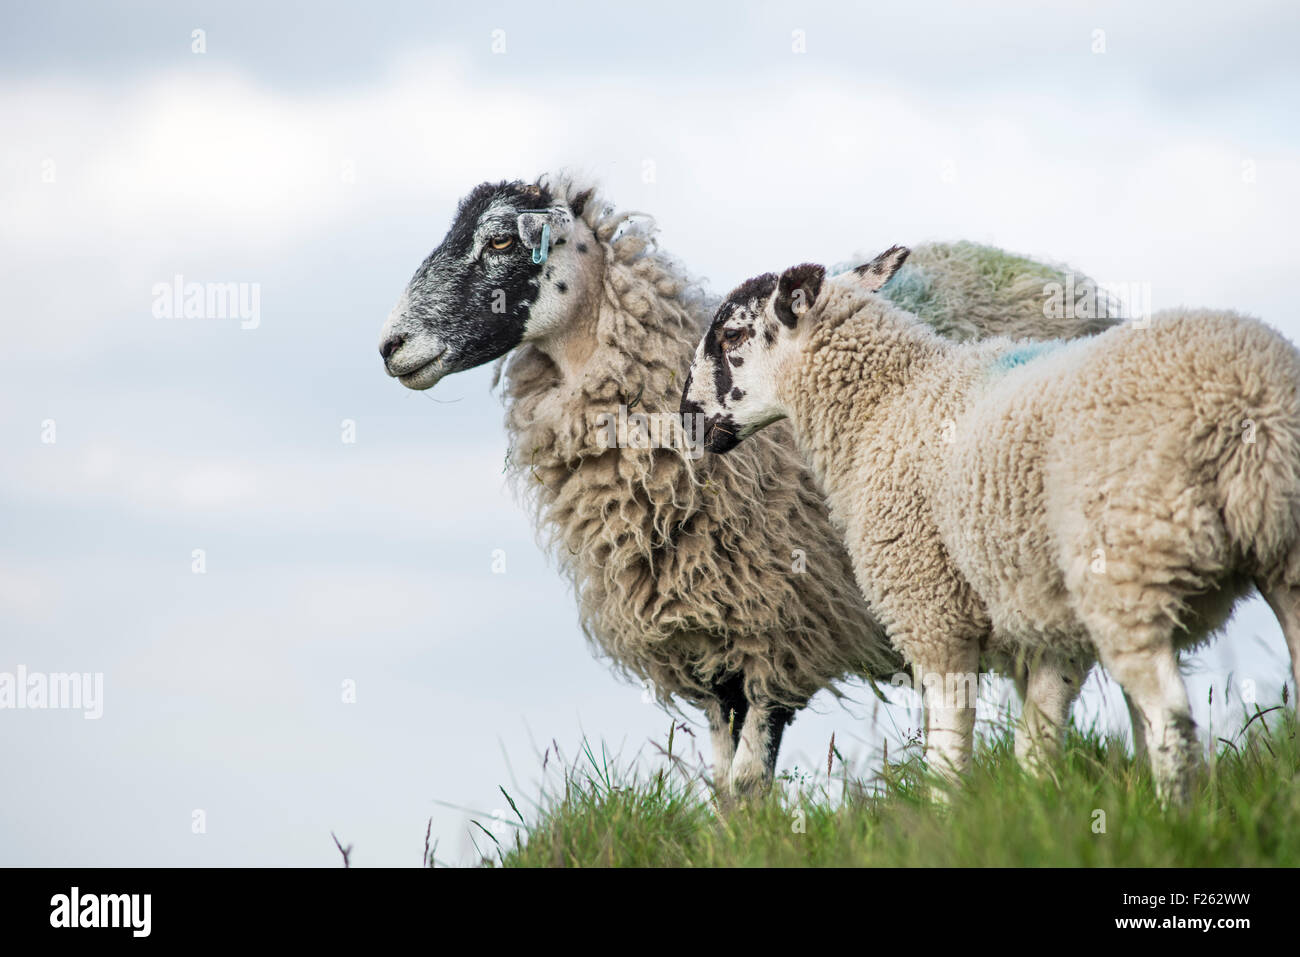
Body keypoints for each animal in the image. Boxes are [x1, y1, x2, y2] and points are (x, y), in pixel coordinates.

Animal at [377, 174, 1118, 794]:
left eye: (501, 239)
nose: (390, 346)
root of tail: (1063, 279)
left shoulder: (779, 632)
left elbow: (748, 782)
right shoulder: (709, 648)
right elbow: (724, 786)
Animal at [680, 245, 1300, 804]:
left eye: (731, 337)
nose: (685, 417)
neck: (888, 402)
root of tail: (1249, 403)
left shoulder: (932, 611)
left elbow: (946, 761)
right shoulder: (1049, 619)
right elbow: (1036, 744)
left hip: (1126, 563)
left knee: (1170, 718)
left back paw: (1175, 823)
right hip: (1281, 554)